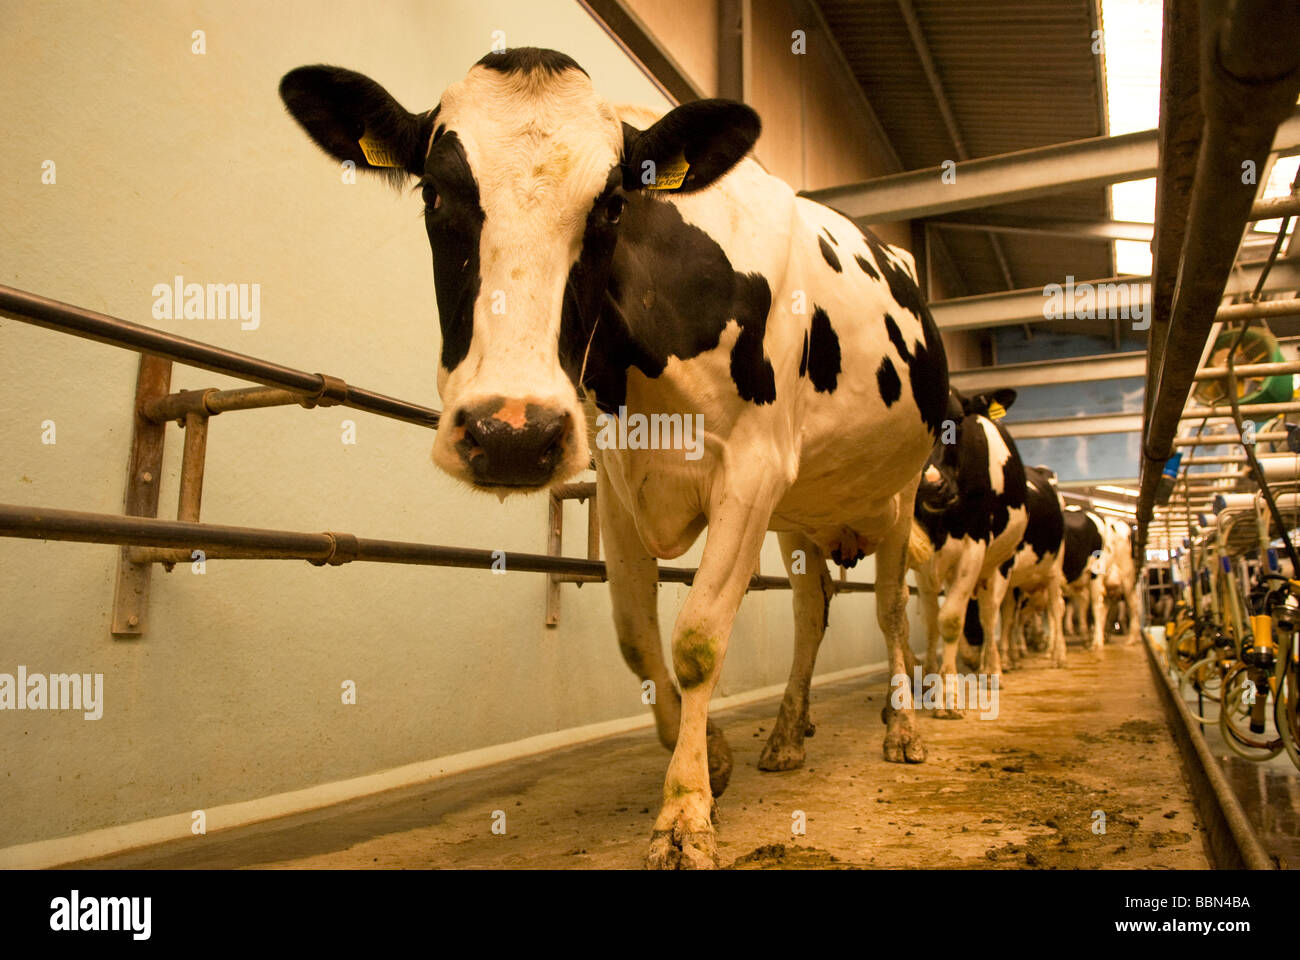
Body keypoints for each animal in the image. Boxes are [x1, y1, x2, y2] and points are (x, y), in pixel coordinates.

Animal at [278, 47, 948, 869]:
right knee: (810, 612)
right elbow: (635, 635)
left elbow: (697, 640)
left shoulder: (753, 467)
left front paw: (684, 813)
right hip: (801, 512)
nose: (511, 433)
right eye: (434, 192)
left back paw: (903, 729)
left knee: (888, 611)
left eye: (611, 207)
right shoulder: (620, 475)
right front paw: (712, 756)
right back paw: (787, 736)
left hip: (900, 493)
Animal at [911, 388, 1027, 715]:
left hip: (999, 564)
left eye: (959, 419)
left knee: (989, 615)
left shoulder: (973, 547)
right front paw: (930, 681)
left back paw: (993, 671)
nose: (930, 485)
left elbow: (951, 619)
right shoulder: (920, 555)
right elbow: (931, 622)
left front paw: (948, 696)